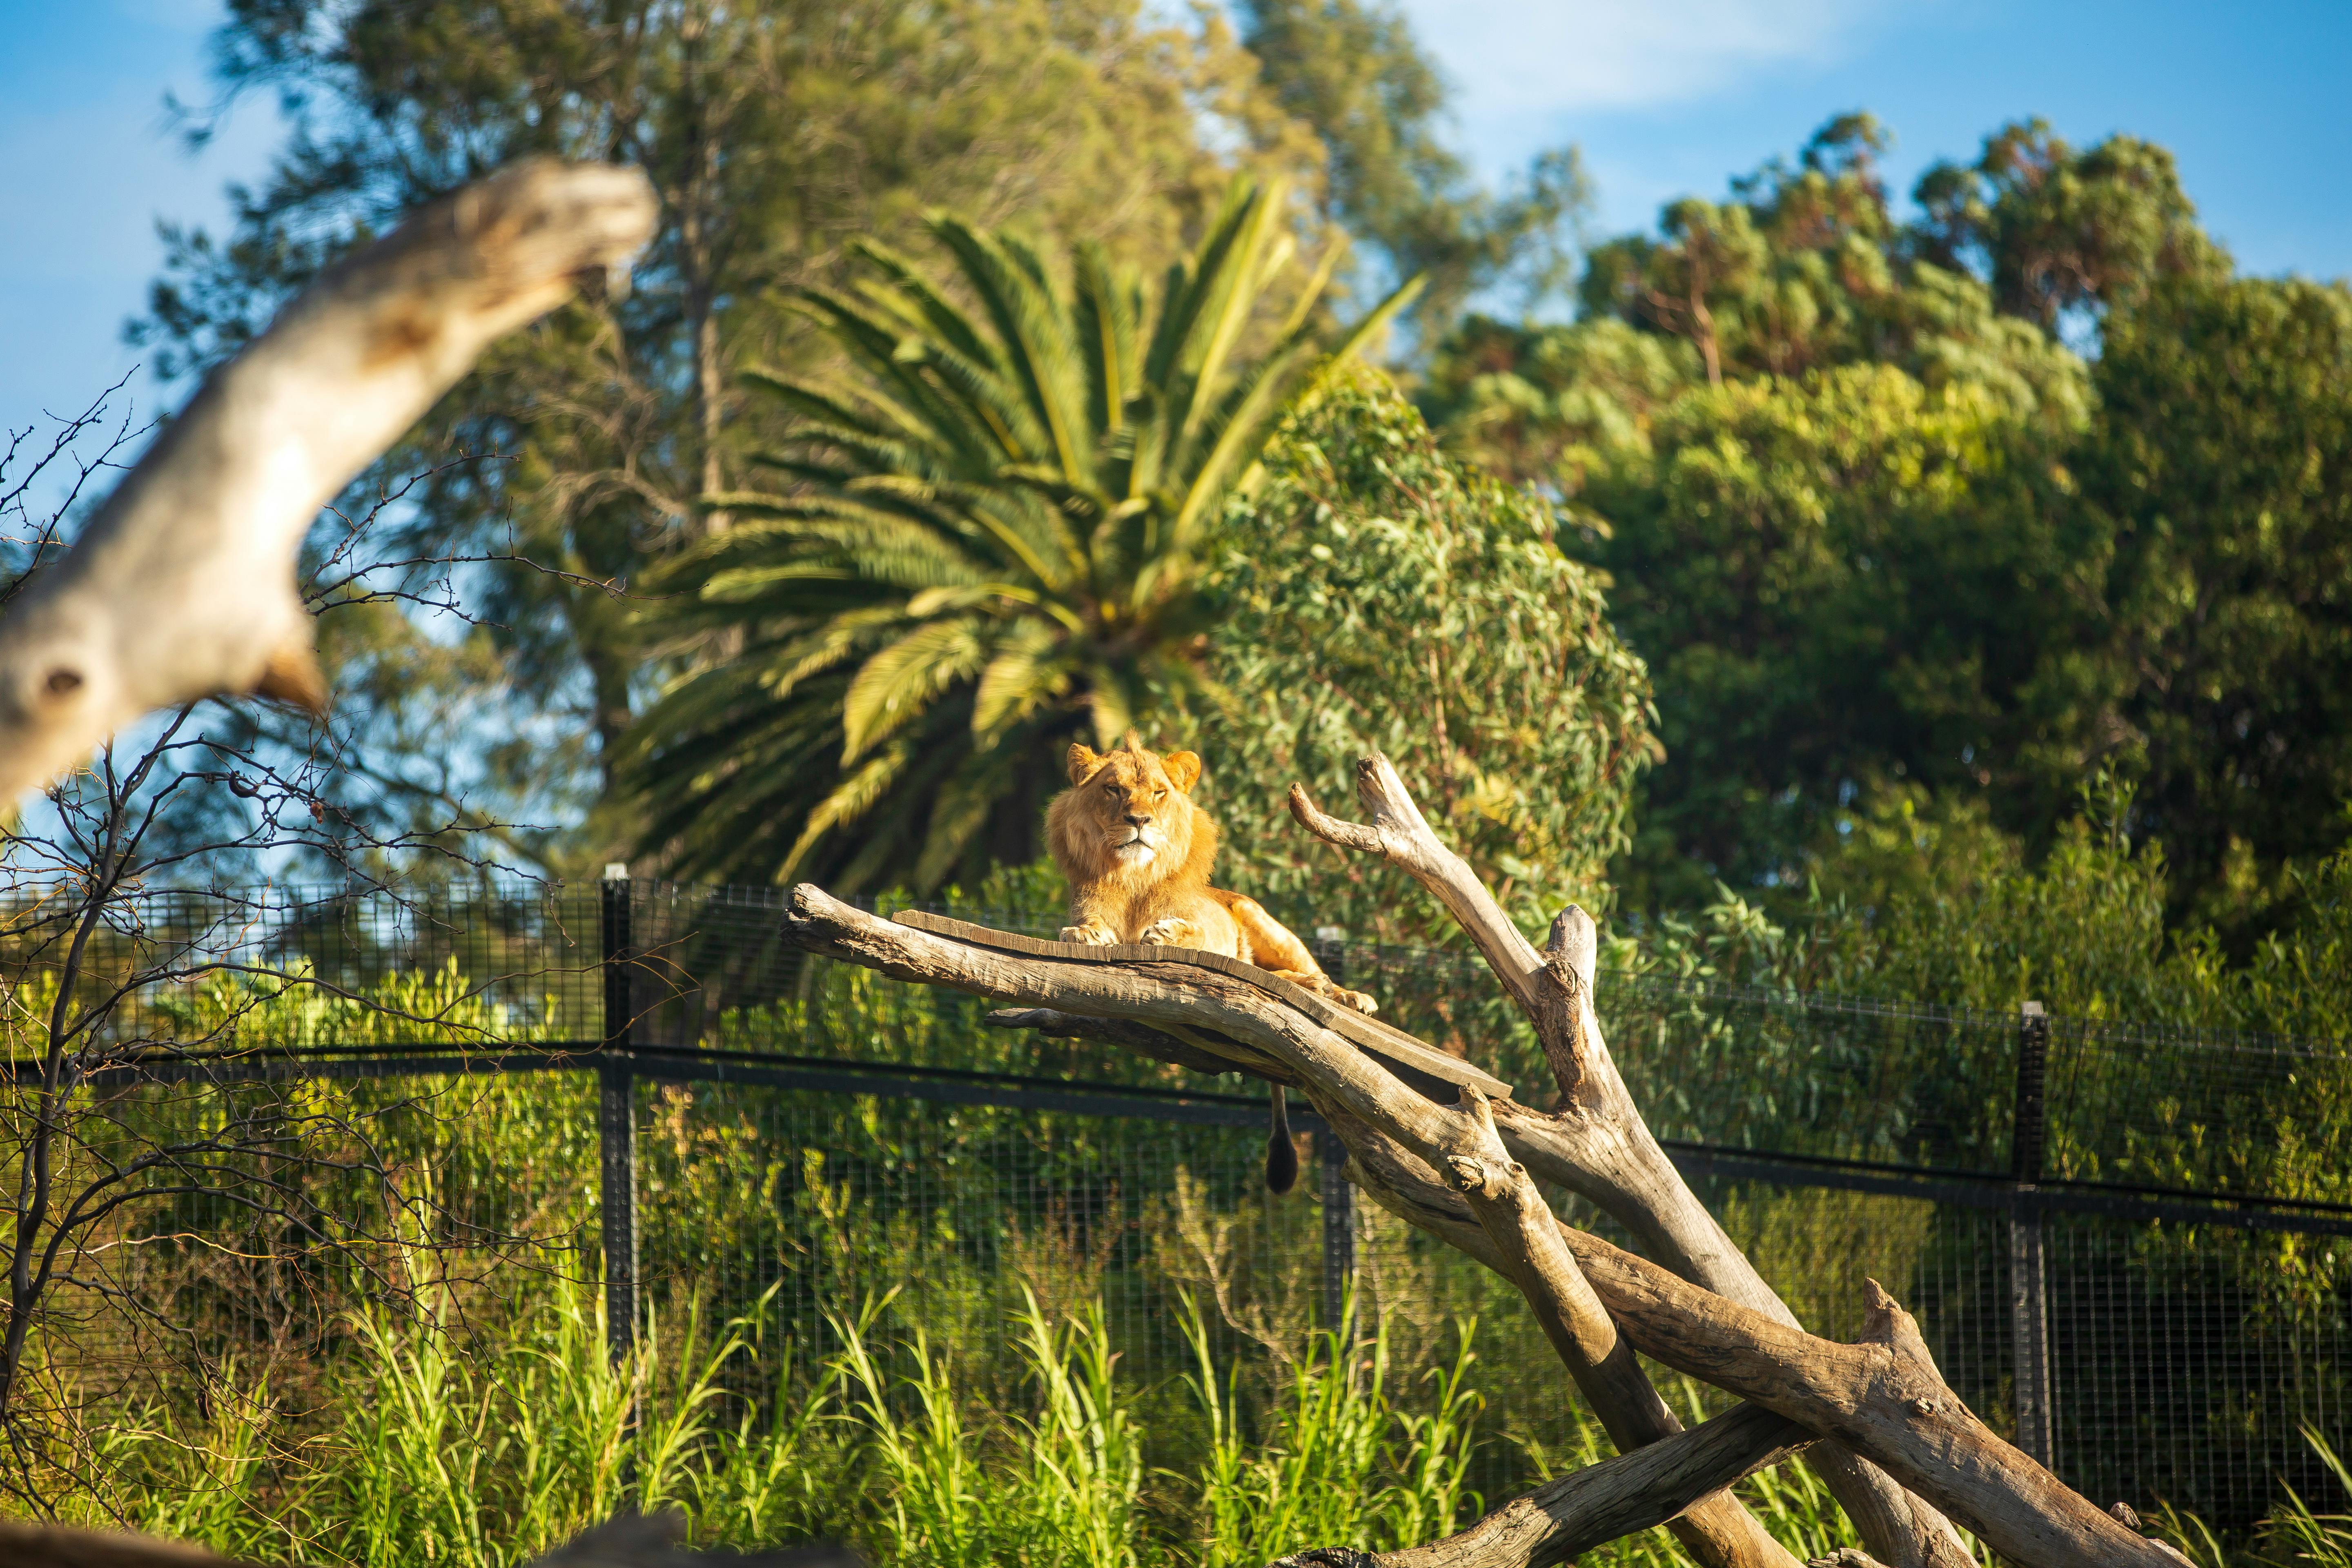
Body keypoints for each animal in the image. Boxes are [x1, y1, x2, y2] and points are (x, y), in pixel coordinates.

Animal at [1044, 736, 1377, 1016]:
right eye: (1113, 789)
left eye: (1158, 793)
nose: (1139, 820)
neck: (1136, 875)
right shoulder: (1087, 905)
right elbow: (1085, 924)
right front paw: (1087, 933)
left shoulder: (1206, 930)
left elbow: (1200, 935)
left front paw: (1169, 935)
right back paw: (1315, 986)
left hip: (1269, 928)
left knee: (1311, 970)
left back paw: (1348, 995)